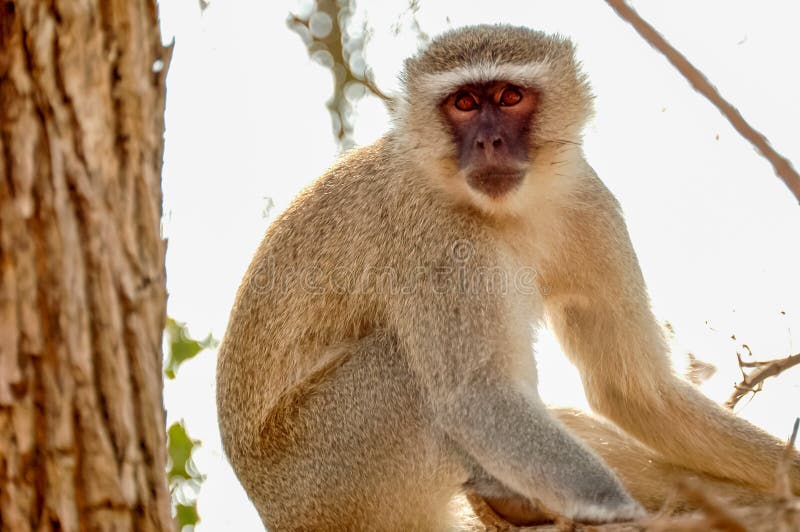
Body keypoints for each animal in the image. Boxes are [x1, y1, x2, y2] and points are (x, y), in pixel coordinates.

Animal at [216, 25, 799, 530]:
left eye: (510, 96)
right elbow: (479, 399)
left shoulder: (590, 203)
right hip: (331, 476)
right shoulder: (440, 238)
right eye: (465, 104)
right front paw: (618, 510)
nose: (489, 143)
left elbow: (637, 391)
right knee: (410, 372)